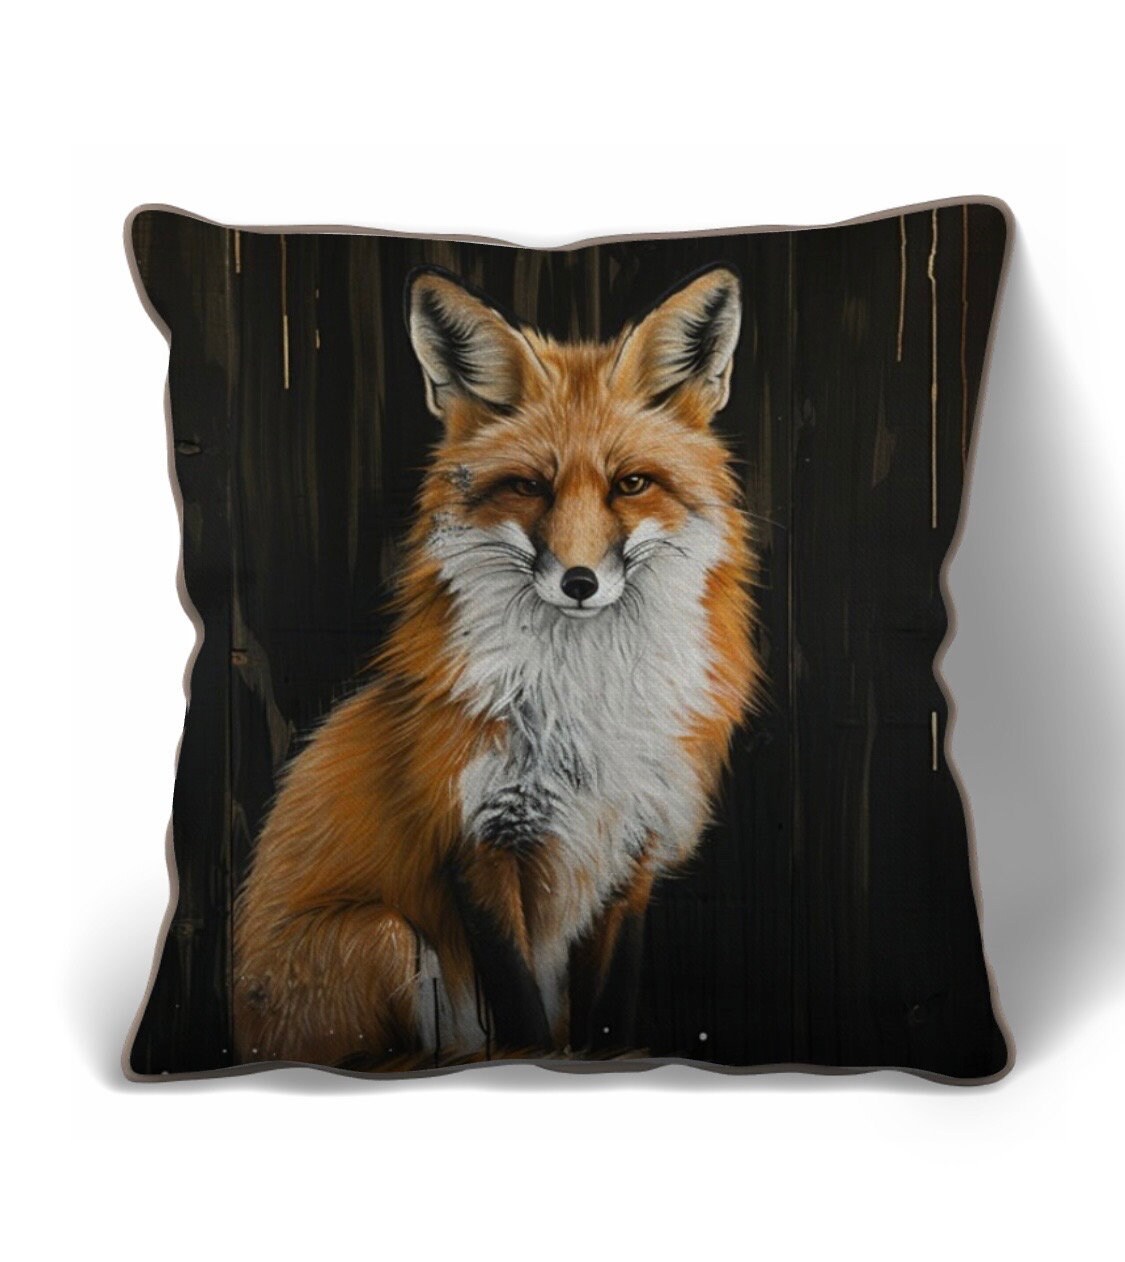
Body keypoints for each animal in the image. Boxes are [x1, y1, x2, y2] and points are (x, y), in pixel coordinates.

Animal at [232, 263, 760, 1069]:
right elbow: (521, 1018)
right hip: (384, 936)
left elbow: (609, 1018)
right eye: (529, 486)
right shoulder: (473, 840)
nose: (579, 582)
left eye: (631, 484)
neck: (586, 705)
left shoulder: (633, 855)